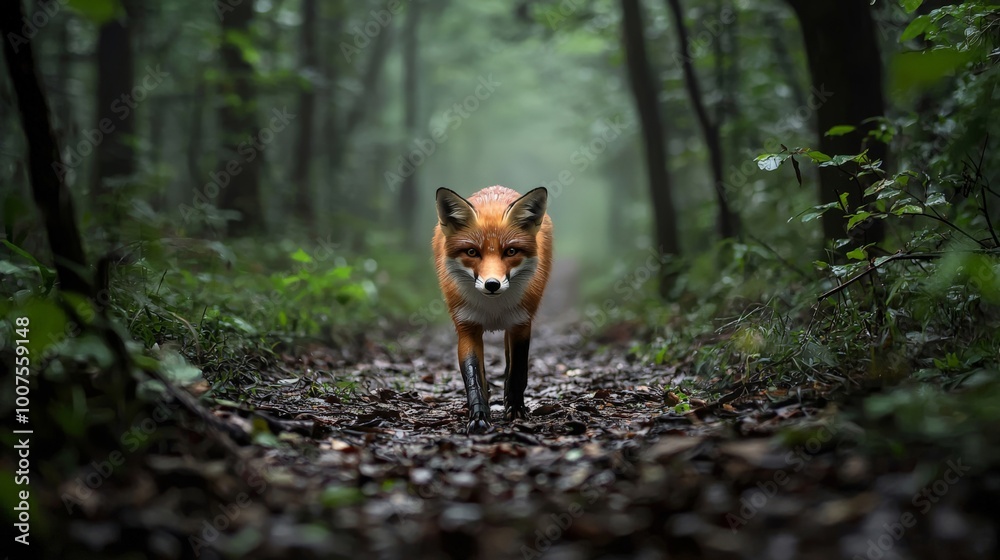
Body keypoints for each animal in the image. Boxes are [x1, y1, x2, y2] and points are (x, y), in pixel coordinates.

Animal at [432, 186, 553, 434]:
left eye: (511, 251)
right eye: (471, 252)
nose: (492, 285)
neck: (493, 309)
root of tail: (495, 188)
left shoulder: (521, 323)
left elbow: (517, 372)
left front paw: (515, 410)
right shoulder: (467, 326)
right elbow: (474, 377)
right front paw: (478, 416)